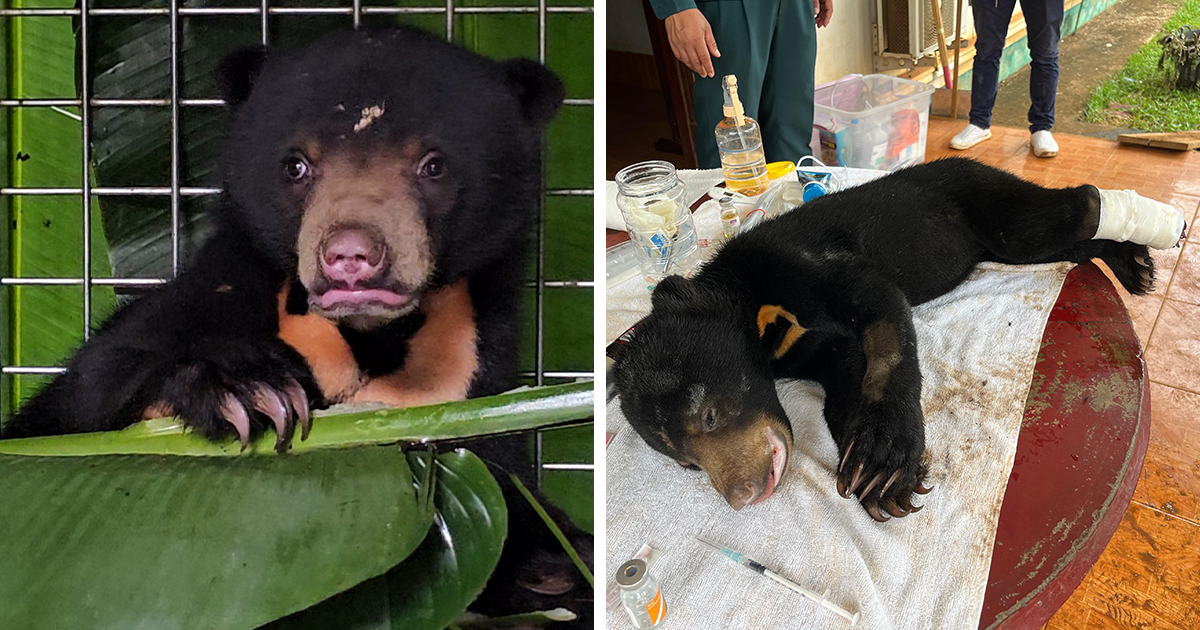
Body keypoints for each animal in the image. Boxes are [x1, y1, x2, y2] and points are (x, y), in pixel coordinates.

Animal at [3, 26, 591, 622]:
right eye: (295, 166)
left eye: (433, 165)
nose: (351, 256)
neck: (370, 338)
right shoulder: (208, 297)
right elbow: (82, 401)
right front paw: (247, 394)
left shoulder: (472, 379)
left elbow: (507, 483)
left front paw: (553, 570)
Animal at [611, 157, 1185, 522]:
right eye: (686, 464)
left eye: (708, 414)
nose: (744, 495)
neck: (758, 314)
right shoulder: (807, 350)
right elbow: (845, 377)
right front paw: (876, 480)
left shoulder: (800, 258)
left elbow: (882, 318)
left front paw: (887, 451)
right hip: (1007, 246)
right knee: (1065, 243)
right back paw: (1132, 262)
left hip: (982, 199)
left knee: (1075, 209)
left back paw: (1153, 229)